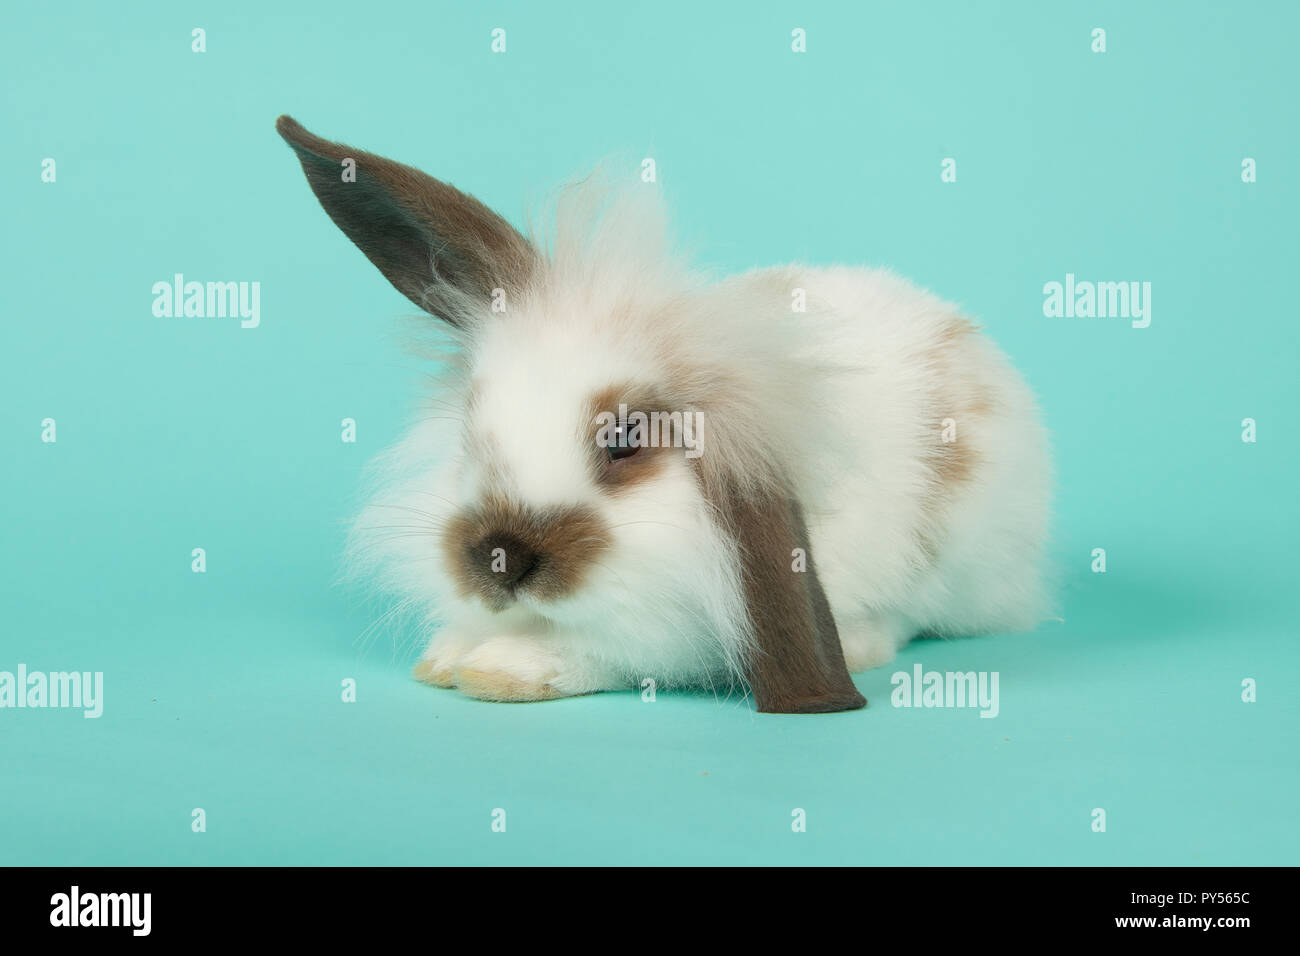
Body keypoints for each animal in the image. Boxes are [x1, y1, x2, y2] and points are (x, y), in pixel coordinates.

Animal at [277, 115, 1052, 714]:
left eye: (625, 440)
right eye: (470, 425)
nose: (499, 559)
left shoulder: (680, 626)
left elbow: (603, 650)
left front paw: (504, 669)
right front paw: (447, 654)